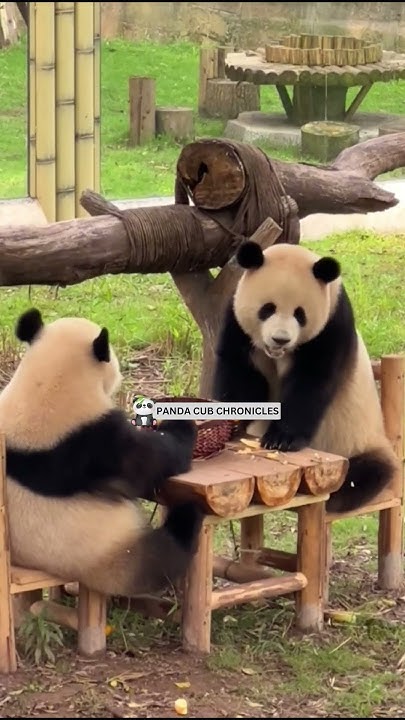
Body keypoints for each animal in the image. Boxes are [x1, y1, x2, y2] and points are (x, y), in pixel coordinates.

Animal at [1, 308, 203, 597]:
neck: (46, 384)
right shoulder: (98, 442)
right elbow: (152, 462)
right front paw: (181, 425)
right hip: (113, 551)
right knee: (165, 553)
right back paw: (187, 518)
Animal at [213, 241, 398, 514]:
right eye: (267, 309)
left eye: (300, 314)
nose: (280, 339)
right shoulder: (236, 320)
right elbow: (240, 373)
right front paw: (233, 424)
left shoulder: (331, 324)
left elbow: (311, 382)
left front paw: (282, 439)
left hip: (358, 438)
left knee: (369, 470)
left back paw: (342, 492)